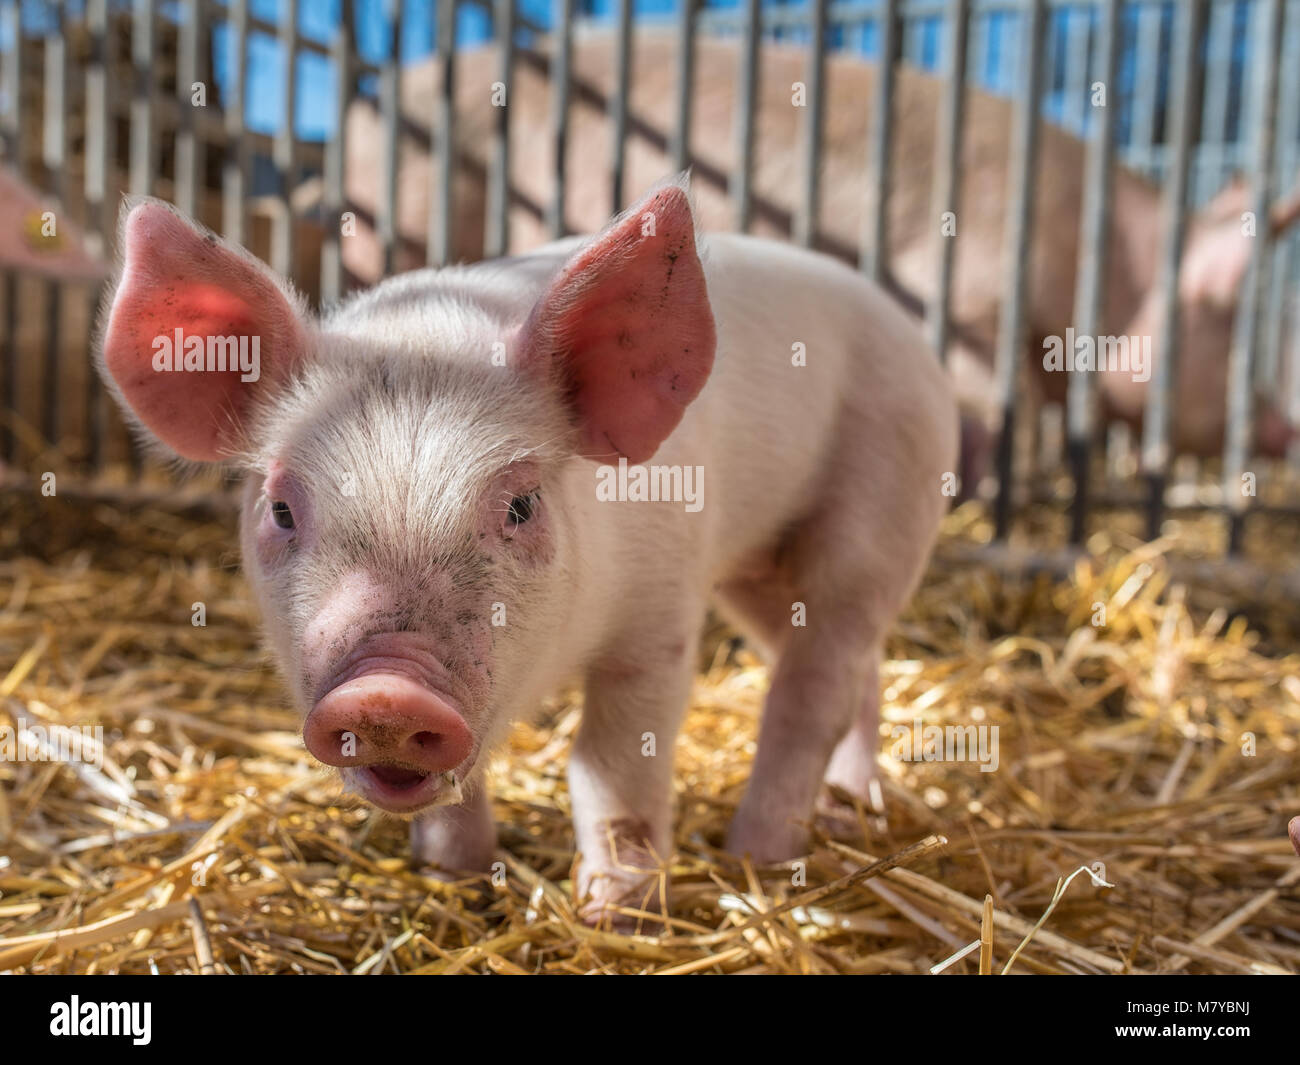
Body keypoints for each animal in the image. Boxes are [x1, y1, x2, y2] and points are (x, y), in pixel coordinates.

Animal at [96, 177, 957, 920]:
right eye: (279, 507)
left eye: (521, 503)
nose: (385, 691)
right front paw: (455, 873)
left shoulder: (659, 616)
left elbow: (610, 764)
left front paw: (617, 910)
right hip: (760, 575)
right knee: (853, 670)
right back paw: (849, 808)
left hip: (879, 506)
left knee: (816, 682)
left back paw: (761, 852)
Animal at [326, 27, 1300, 481]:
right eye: (1228, 328)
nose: (1282, 425)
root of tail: (368, 102)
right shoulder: (970, 306)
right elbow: (989, 416)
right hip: (393, 222)